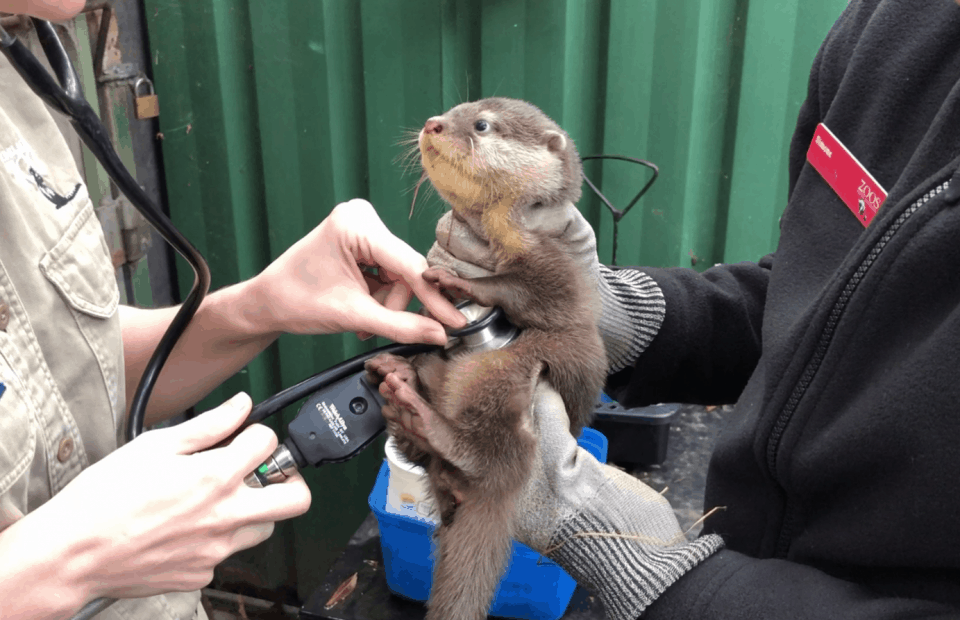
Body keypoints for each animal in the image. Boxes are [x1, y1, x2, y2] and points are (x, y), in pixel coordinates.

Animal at [365, 98, 607, 620]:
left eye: (481, 125)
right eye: (450, 109)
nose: (432, 125)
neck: (505, 234)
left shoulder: (556, 270)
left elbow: (517, 291)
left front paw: (456, 282)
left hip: (502, 381)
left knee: (500, 458)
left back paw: (420, 413)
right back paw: (396, 380)